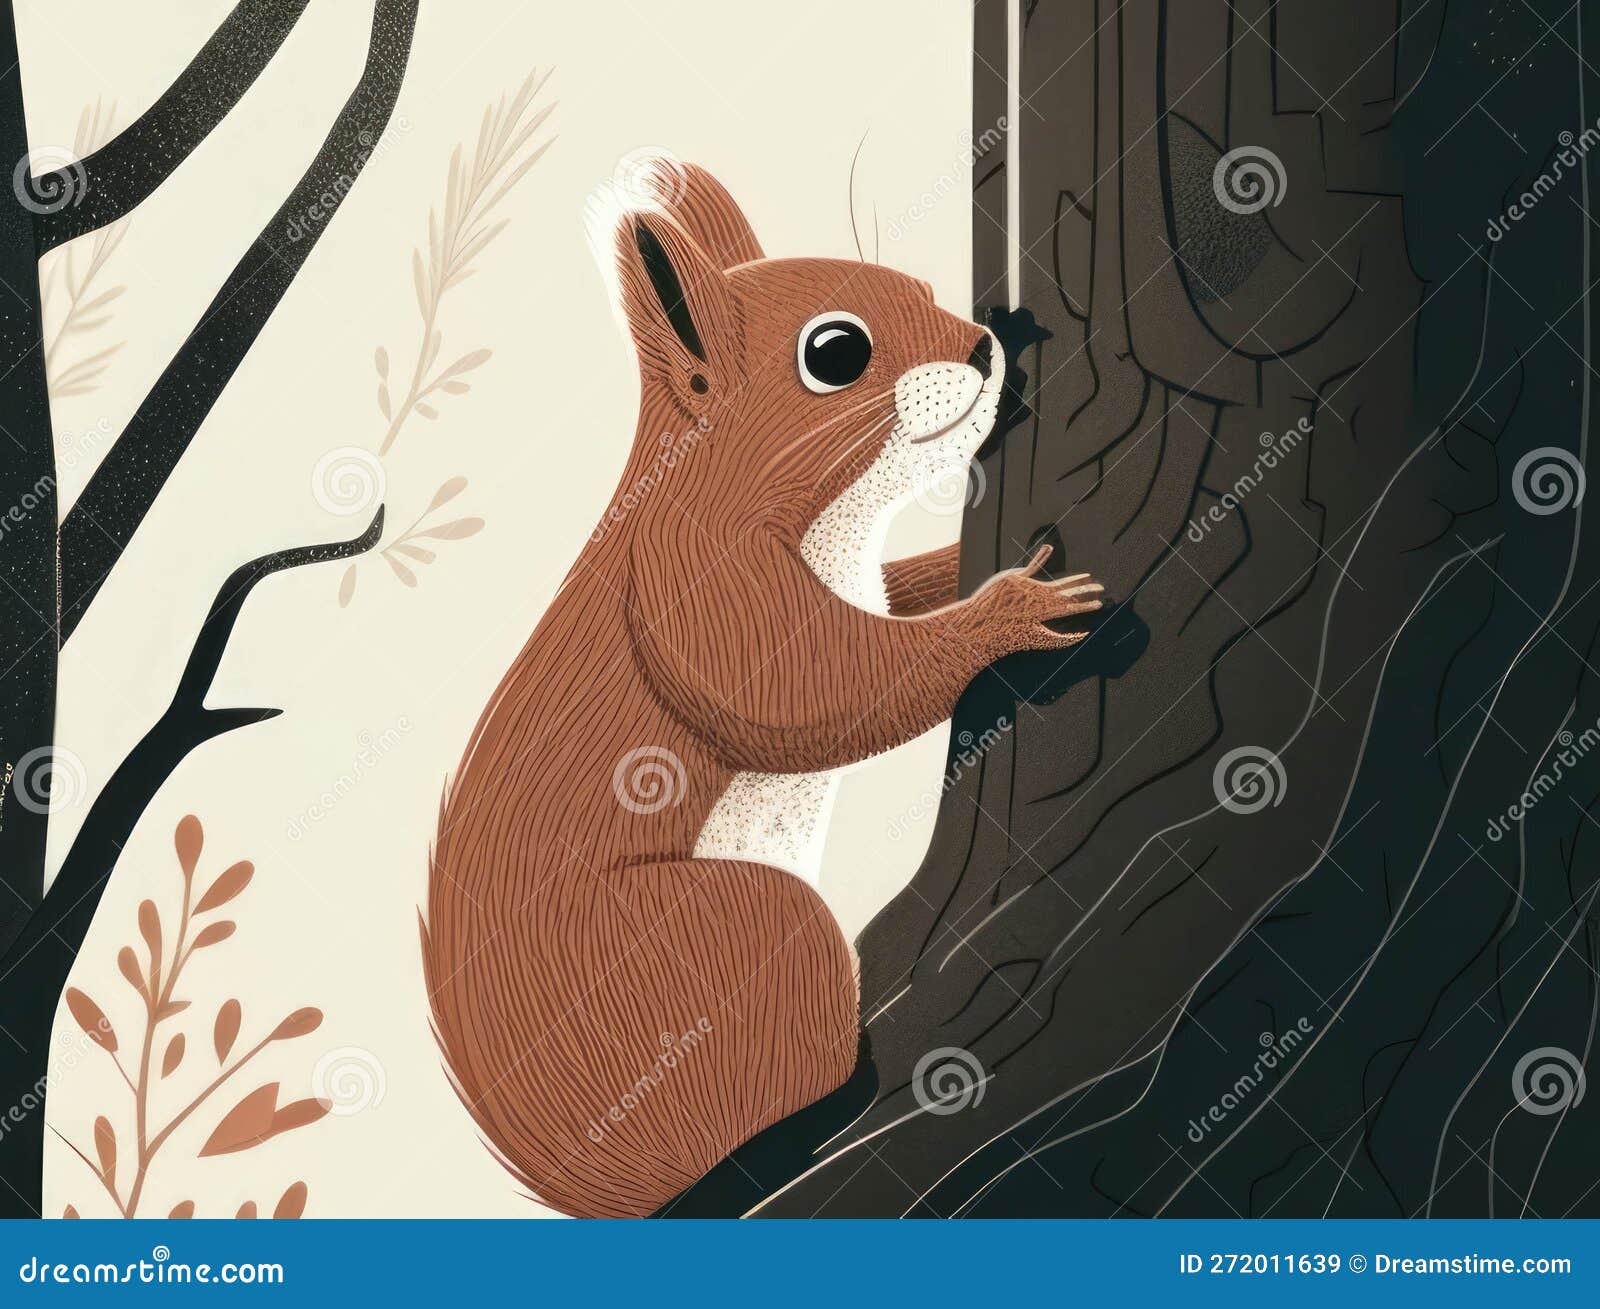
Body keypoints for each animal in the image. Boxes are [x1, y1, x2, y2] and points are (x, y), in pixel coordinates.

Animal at [421, 154, 1102, 1218]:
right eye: (835, 352)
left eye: (921, 286)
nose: (985, 346)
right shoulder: (700, 589)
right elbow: (825, 690)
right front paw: (1007, 612)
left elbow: (901, 600)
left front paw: (969, 570)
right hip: (728, 938)